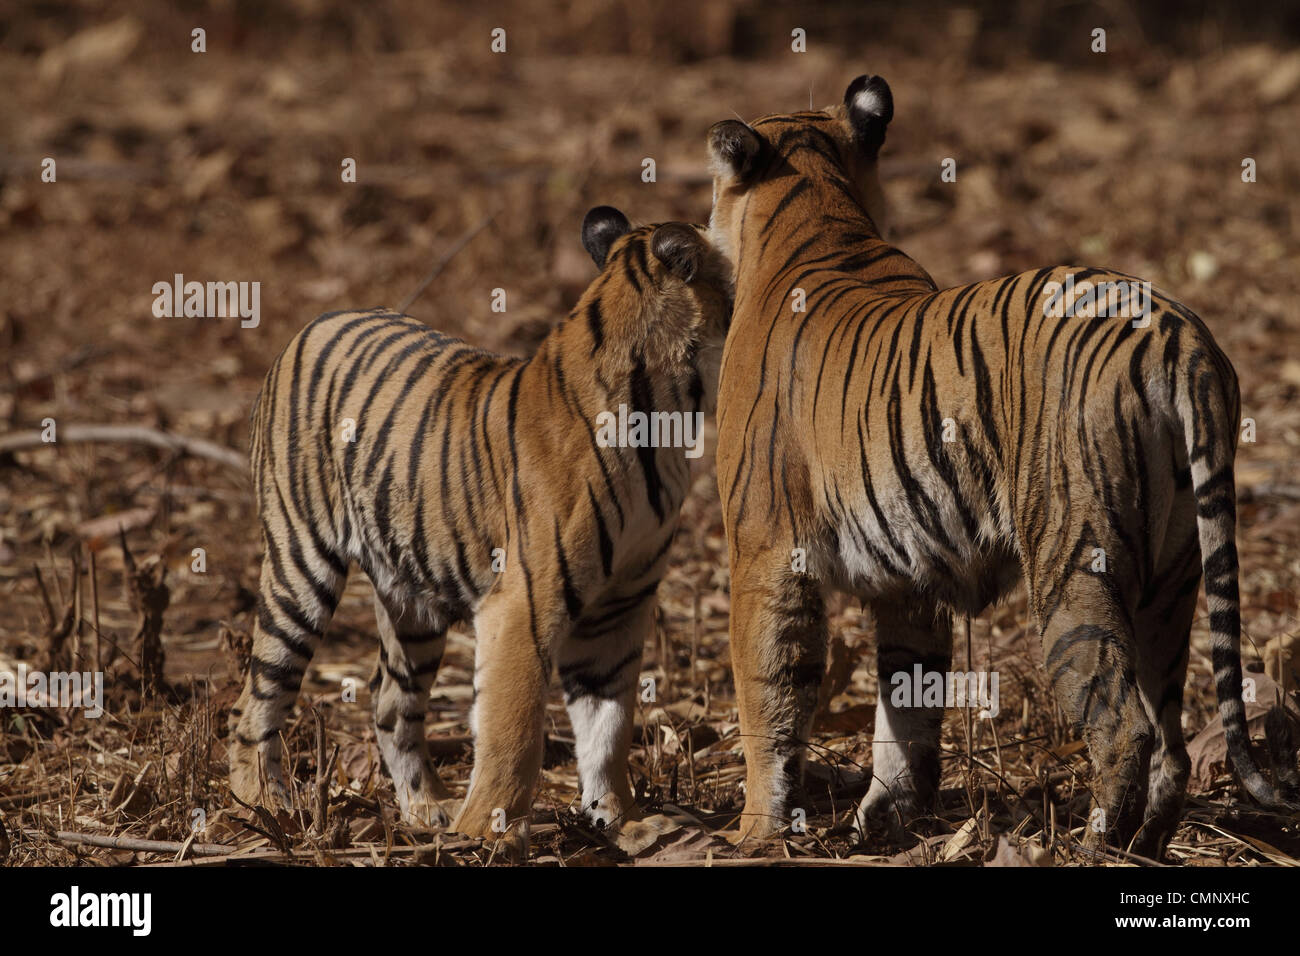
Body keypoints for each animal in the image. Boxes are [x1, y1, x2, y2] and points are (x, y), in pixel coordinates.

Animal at [226, 205, 733, 839]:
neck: (668, 418)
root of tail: (314, 322)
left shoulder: (618, 608)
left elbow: (608, 728)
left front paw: (619, 821)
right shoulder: (524, 602)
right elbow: (512, 728)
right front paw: (482, 832)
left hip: (412, 602)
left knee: (390, 703)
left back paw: (426, 807)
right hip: (301, 565)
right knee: (257, 695)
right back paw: (265, 804)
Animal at [703, 74, 1292, 857]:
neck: (820, 213)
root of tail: (1182, 337)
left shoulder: (764, 553)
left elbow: (769, 697)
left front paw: (755, 834)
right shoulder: (908, 579)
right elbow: (906, 702)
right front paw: (885, 819)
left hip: (1075, 566)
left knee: (1124, 726)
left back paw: (1093, 845)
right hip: (1175, 574)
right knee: (1171, 733)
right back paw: (1145, 845)